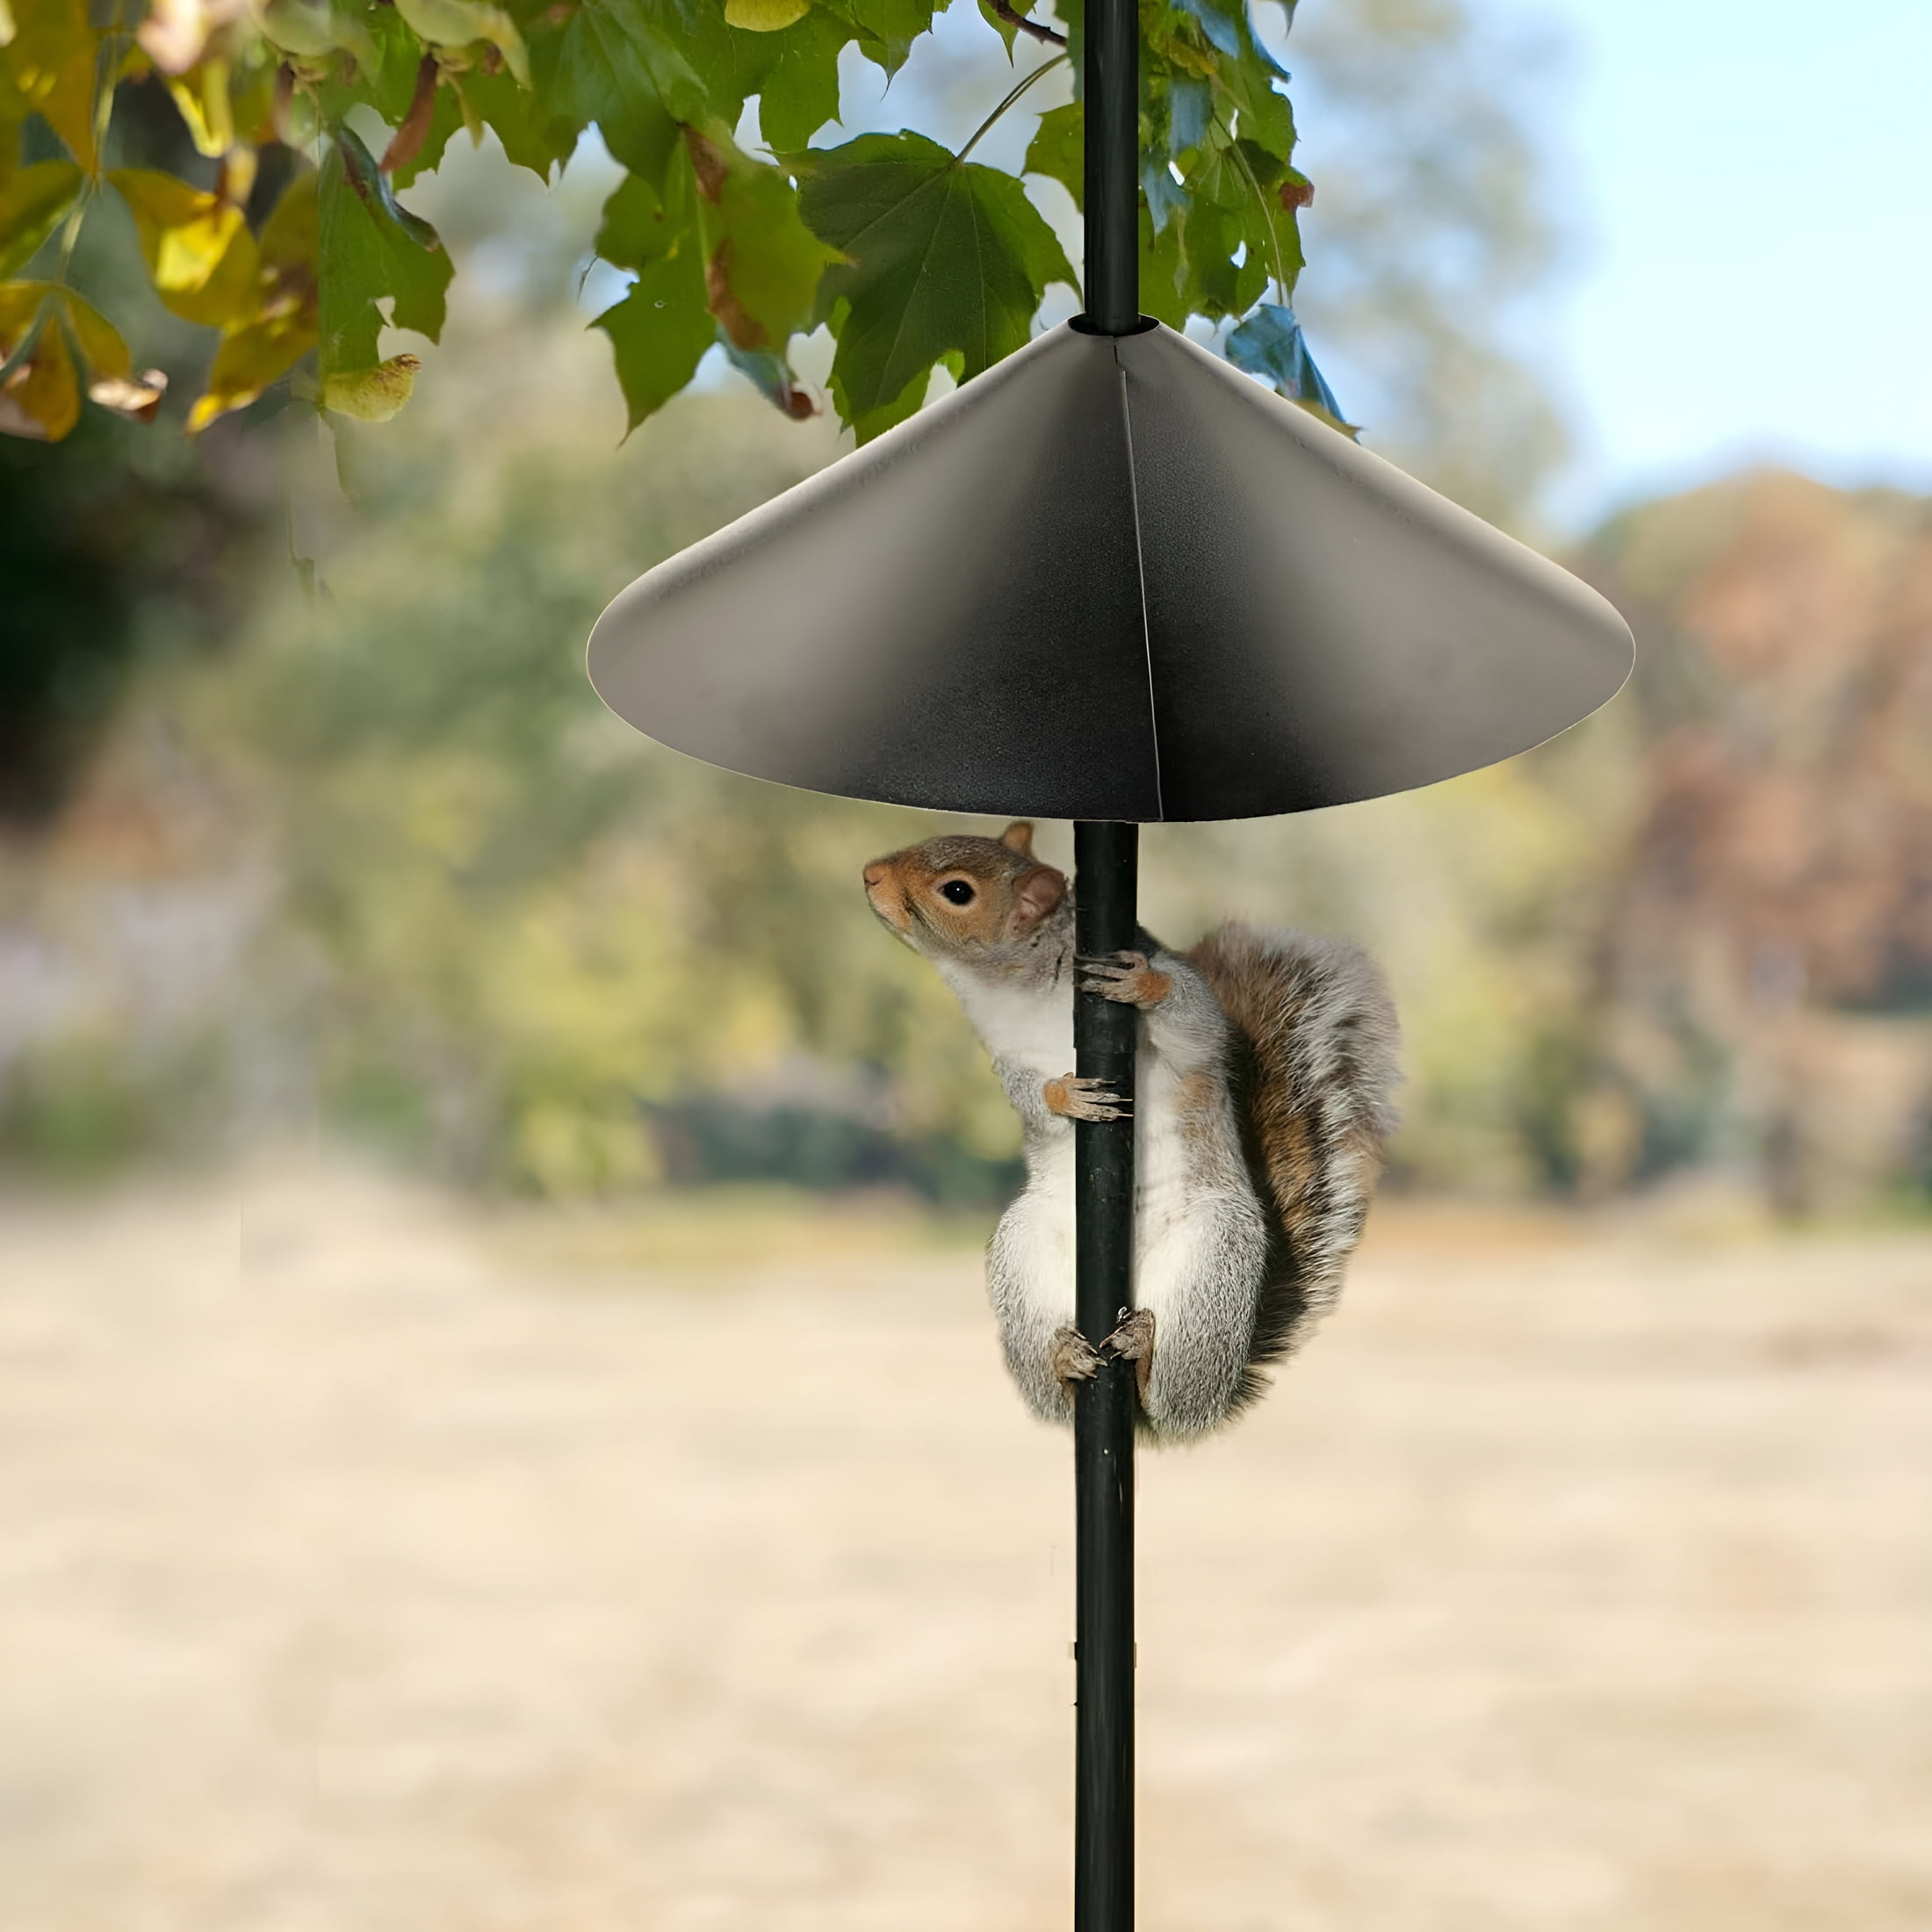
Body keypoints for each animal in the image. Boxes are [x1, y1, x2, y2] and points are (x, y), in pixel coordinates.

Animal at [863, 821, 1401, 1442]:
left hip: (1214, 1262)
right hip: (1023, 1254)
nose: (869, 875)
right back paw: (1064, 1362)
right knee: (1058, 1399)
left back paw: (1145, 1359)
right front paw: (1065, 1097)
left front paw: (1143, 985)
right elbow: (1027, 1095)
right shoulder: (1006, 1057)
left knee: (1171, 1400)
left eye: (957, 891)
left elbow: (1198, 1025)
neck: (1016, 986)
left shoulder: (1187, 1013)